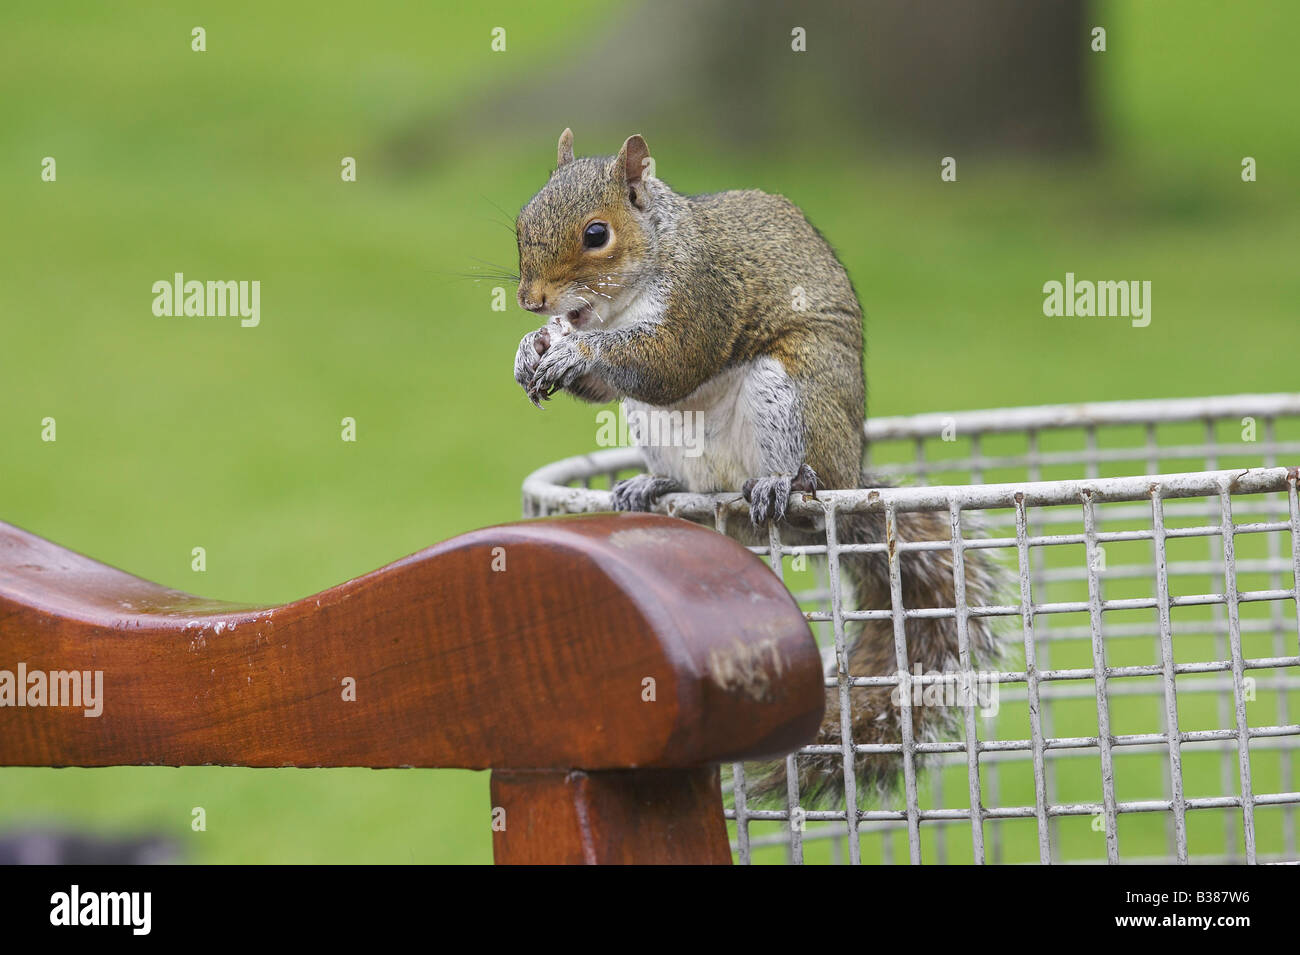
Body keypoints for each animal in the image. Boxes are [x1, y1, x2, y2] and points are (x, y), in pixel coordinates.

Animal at [512, 129, 1003, 806]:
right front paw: (531, 351)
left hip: (789, 394)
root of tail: (851, 471)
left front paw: (568, 350)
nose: (532, 302)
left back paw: (784, 483)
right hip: (660, 432)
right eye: (520, 222)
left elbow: (667, 362)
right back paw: (653, 484)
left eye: (596, 234)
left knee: (805, 488)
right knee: (693, 483)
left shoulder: (702, 298)